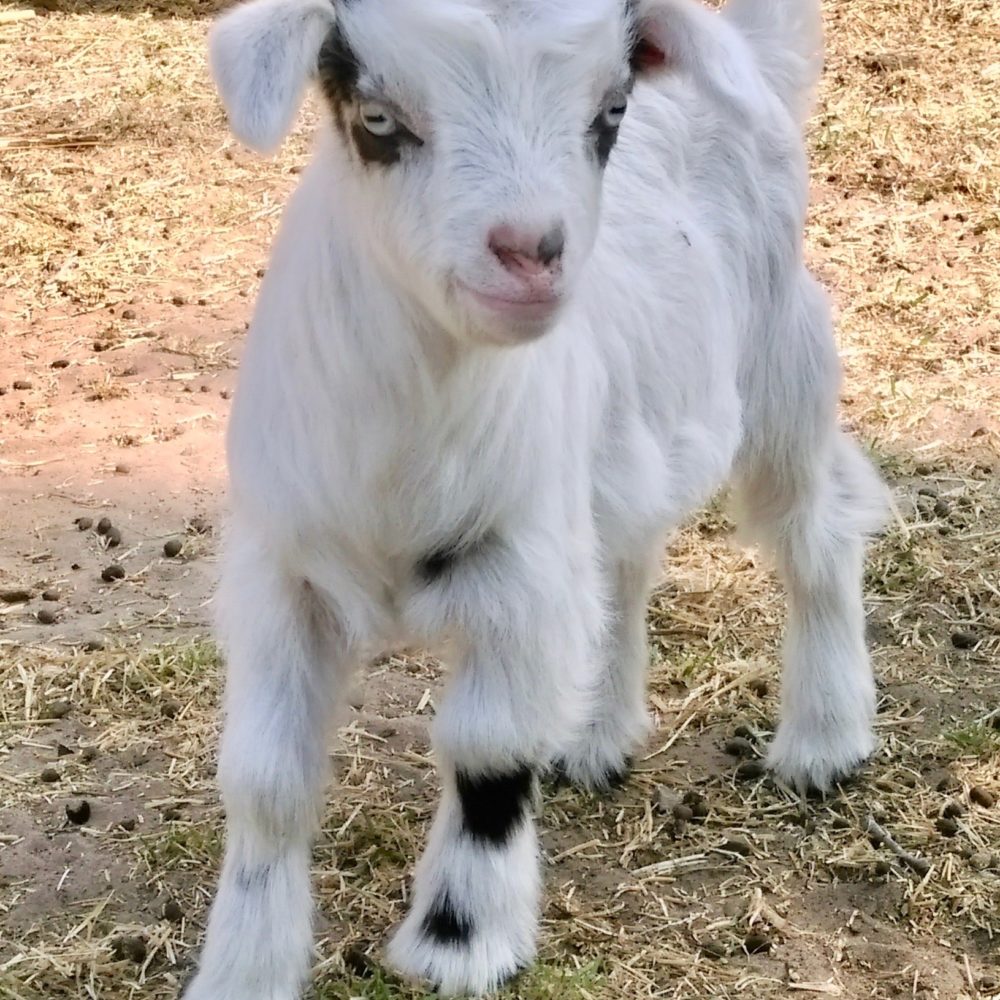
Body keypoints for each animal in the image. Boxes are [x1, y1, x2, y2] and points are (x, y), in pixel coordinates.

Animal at [185, 0, 888, 996]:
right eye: (377, 118)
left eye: (610, 111)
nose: (531, 252)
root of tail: (754, 59)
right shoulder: (282, 569)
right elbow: (265, 781)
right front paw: (243, 968)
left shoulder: (516, 562)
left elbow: (486, 756)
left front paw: (459, 943)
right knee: (625, 563)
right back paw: (595, 737)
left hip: (781, 357)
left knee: (816, 531)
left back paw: (822, 743)